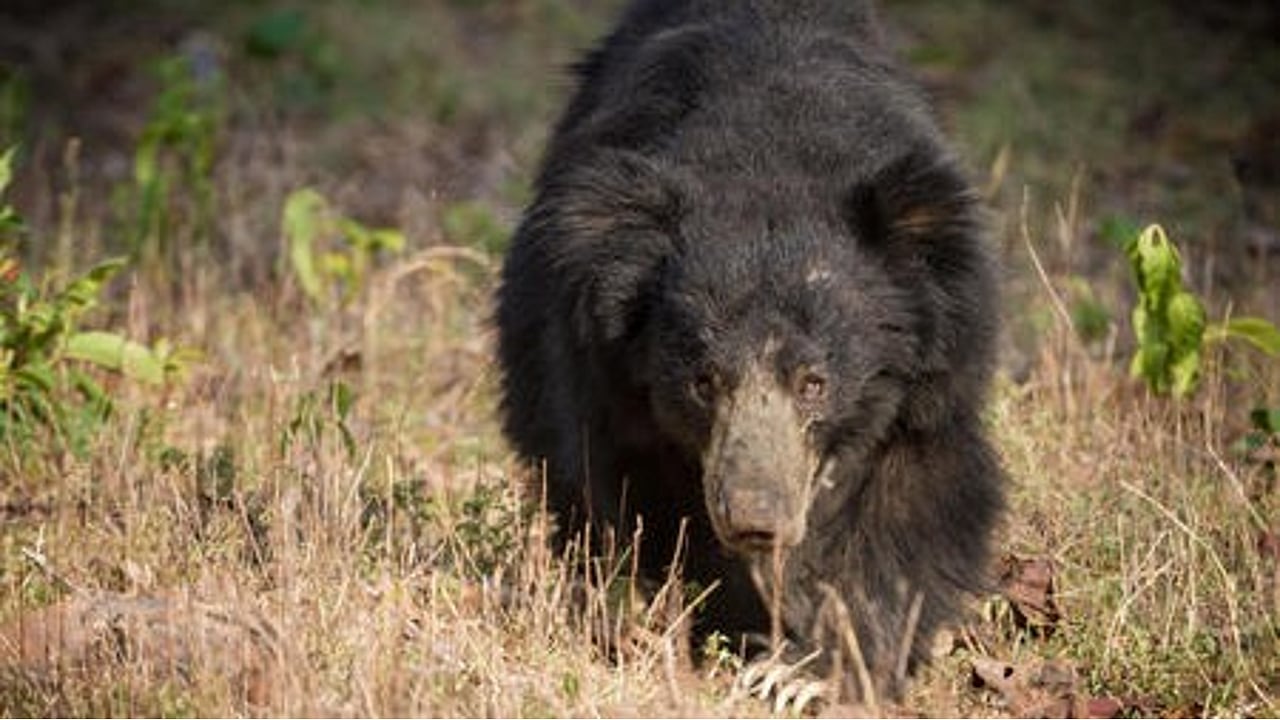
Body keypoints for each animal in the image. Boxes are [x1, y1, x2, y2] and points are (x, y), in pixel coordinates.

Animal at [495, 0, 1005, 702]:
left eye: (815, 383)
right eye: (703, 382)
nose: (755, 519)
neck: (771, 158)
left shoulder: (933, 373)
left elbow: (909, 506)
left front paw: (810, 674)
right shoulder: (604, 377)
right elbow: (626, 491)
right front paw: (665, 622)